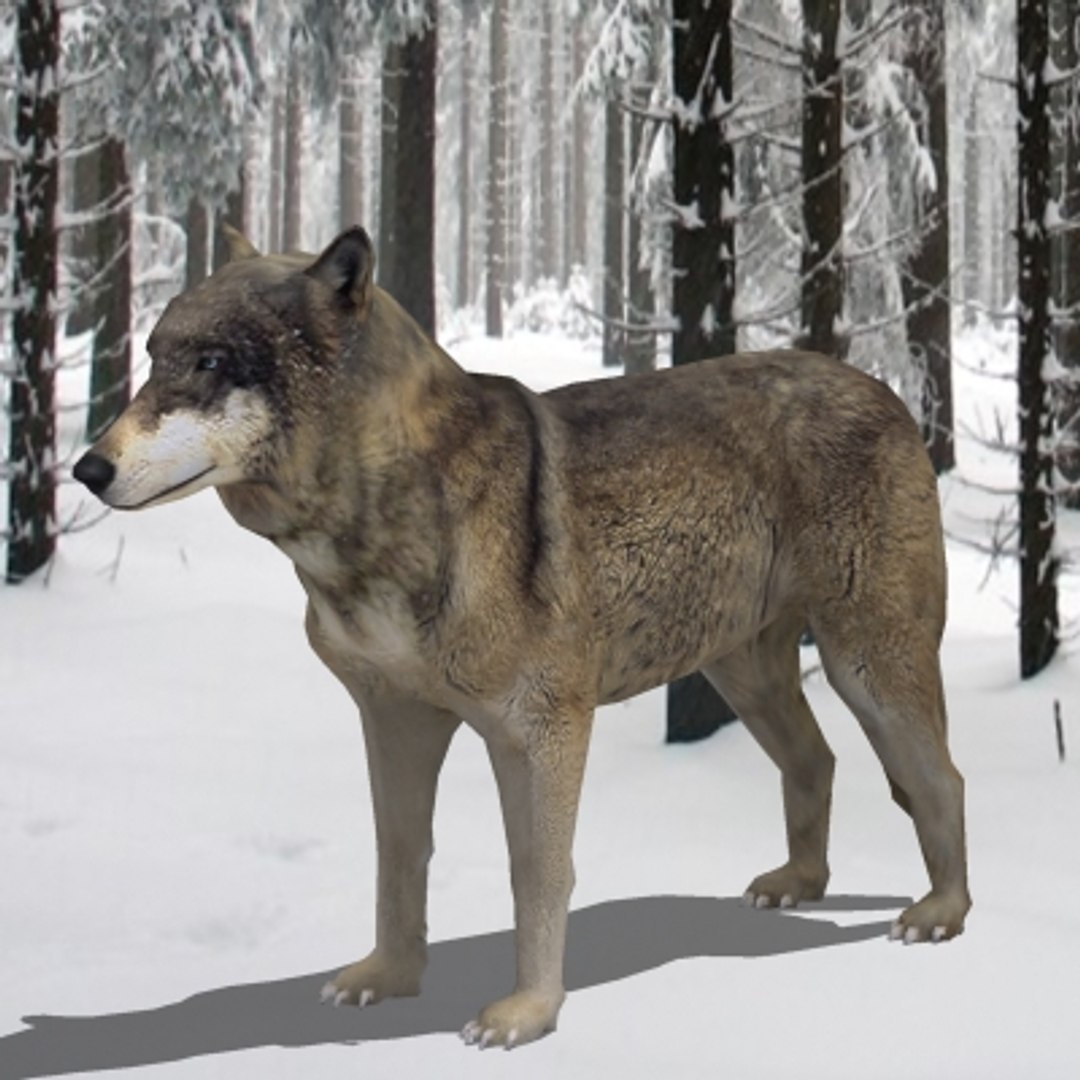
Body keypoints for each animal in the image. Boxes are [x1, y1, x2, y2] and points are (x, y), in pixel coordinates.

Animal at [74, 226, 970, 1049]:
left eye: (210, 364)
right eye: (153, 358)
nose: (85, 469)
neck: (380, 525)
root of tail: (884, 388)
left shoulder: (542, 730)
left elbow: (537, 870)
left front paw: (528, 1014)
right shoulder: (393, 721)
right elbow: (398, 856)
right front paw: (389, 978)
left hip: (867, 667)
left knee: (942, 780)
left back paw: (941, 913)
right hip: (743, 676)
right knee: (817, 760)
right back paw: (800, 884)